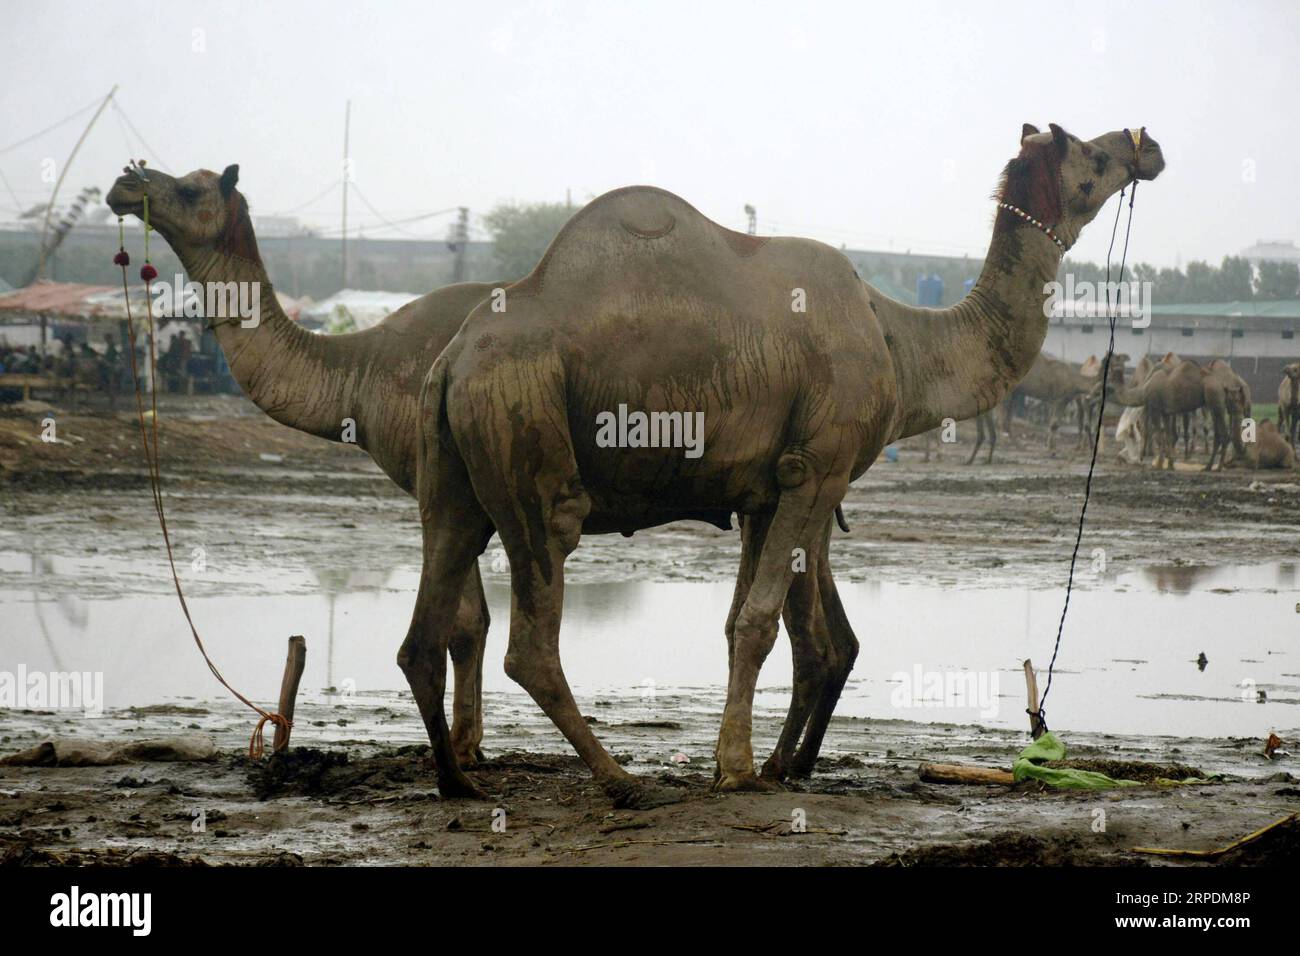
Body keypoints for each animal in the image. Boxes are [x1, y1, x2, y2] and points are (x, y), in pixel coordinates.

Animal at [401, 123, 1163, 804]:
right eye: (1093, 157)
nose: (1146, 146)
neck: (900, 340)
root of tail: (453, 359)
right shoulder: (816, 469)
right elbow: (765, 623)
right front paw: (740, 770)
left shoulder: (766, 490)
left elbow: (772, 627)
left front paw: (757, 763)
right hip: (522, 427)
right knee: (533, 624)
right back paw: (623, 782)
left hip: (454, 473)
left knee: (426, 623)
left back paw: (458, 780)